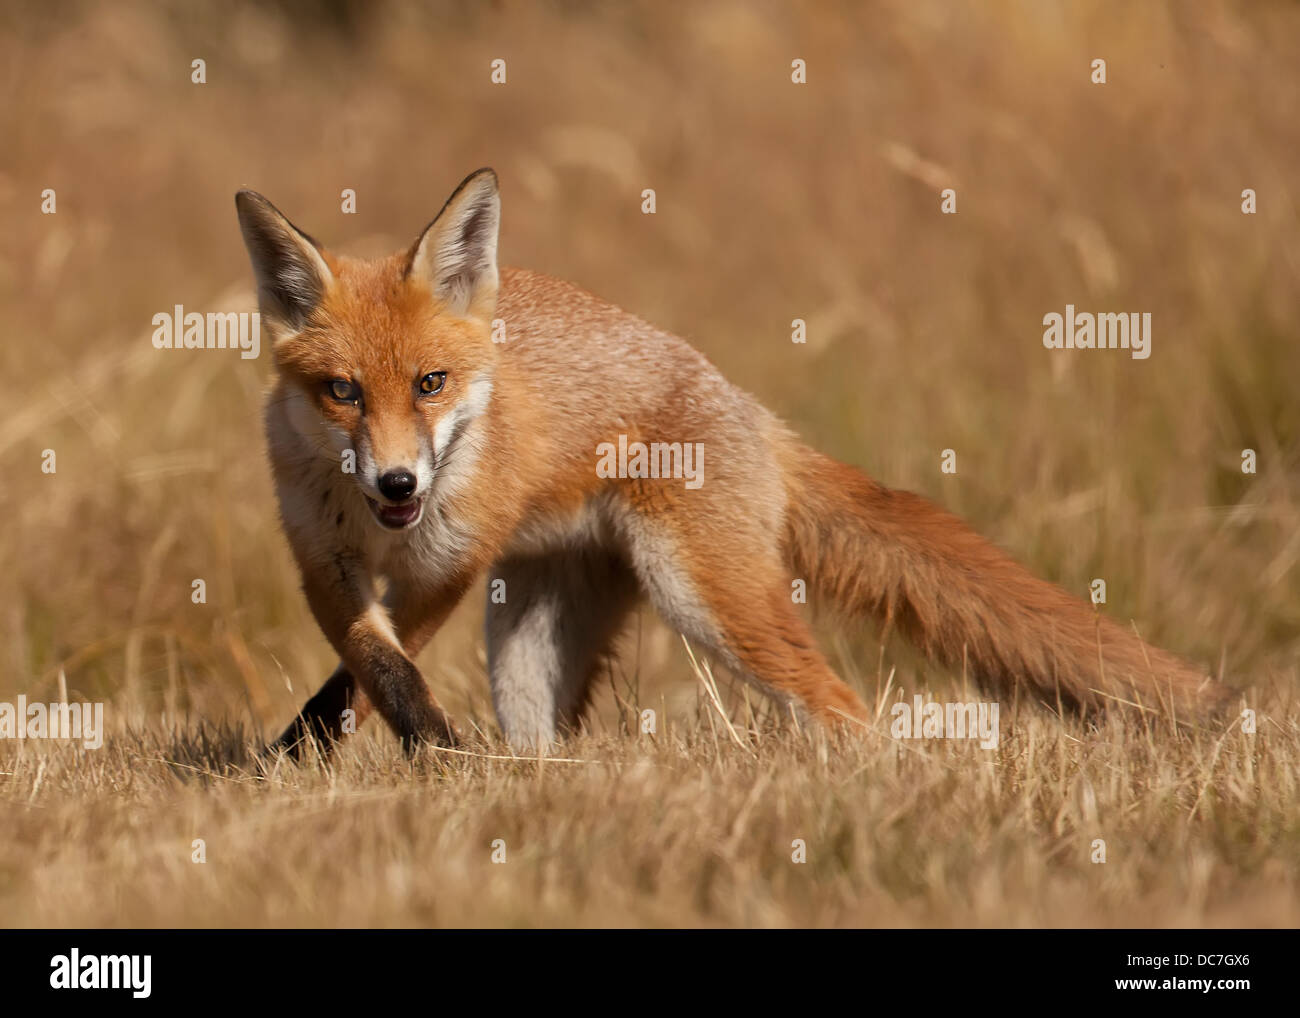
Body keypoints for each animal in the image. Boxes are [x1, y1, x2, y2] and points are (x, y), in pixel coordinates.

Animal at [236, 168, 1230, 759]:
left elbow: (379, 671)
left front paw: (418, 753)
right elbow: (370, 666)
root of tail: (752, 411)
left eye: (431, 383)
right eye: (342, 392)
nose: (398, 483)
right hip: (531, 634)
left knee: (842, 705)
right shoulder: (323, 563)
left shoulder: (448, 564)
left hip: (705, 597)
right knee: (547, 740)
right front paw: (309, 755)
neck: (381, 529)